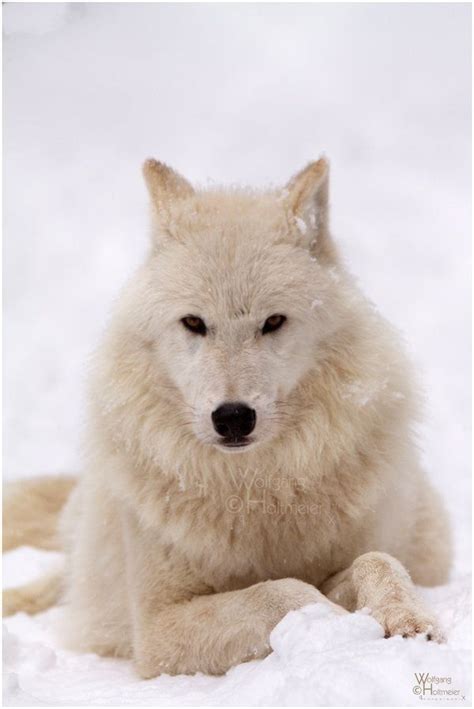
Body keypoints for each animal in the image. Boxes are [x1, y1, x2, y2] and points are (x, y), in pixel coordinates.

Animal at [3, 157, 452, 677]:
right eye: (194, 323)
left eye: (273, 322)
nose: (234, 417)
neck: (253, 491)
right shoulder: (156, 631)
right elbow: (281, 592)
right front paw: (334, 625)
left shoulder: (361, 551)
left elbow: (375, 561)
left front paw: (406, 620)